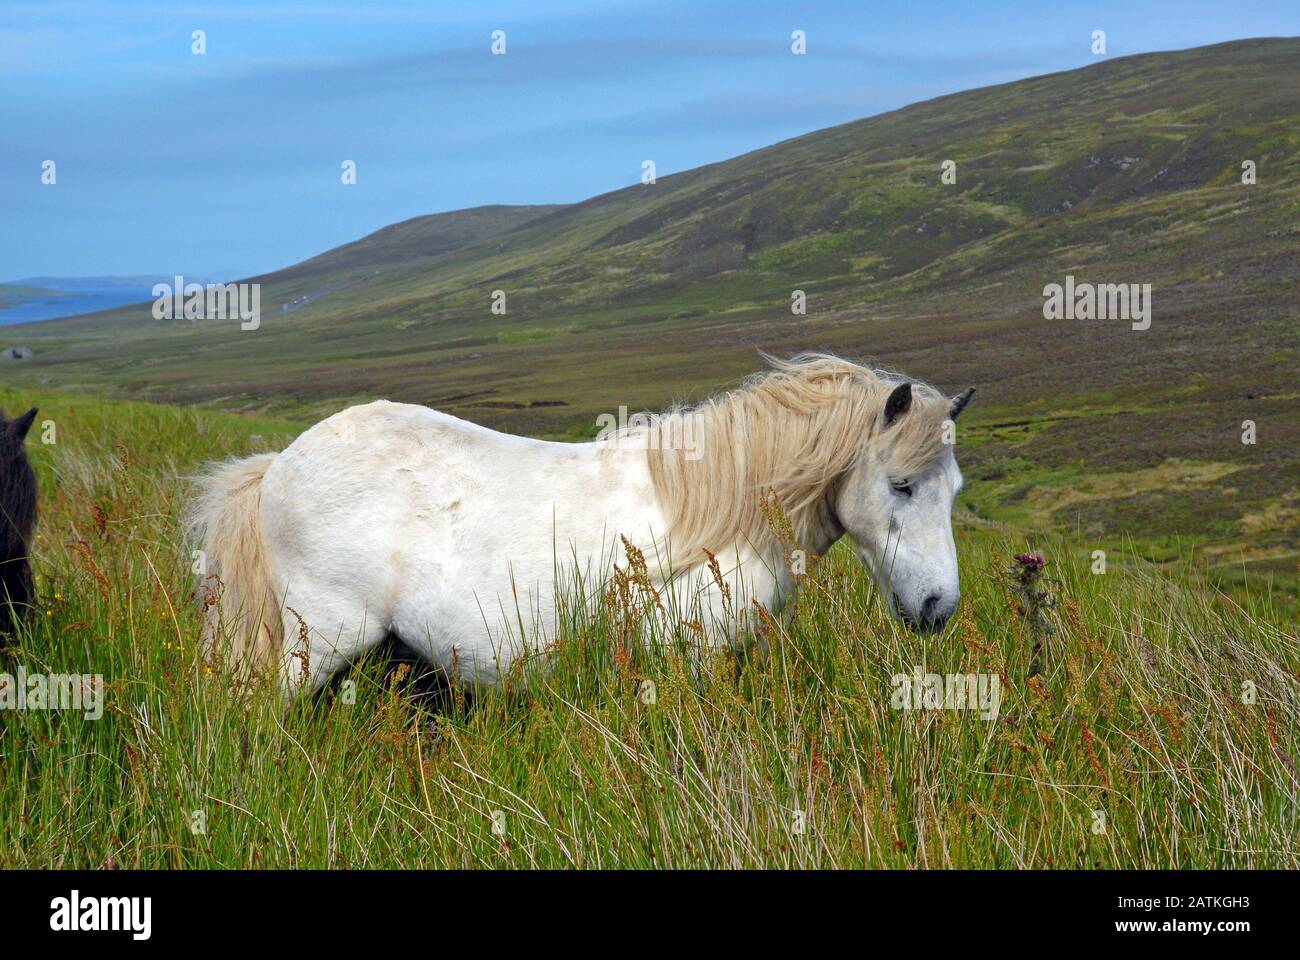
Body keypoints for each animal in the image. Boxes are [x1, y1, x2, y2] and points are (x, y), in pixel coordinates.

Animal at [190, 354, 974, 700]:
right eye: (902, 486)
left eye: (955, 491)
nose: (939, 608)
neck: (726, 513)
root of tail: (279, 464)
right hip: (315, 644)